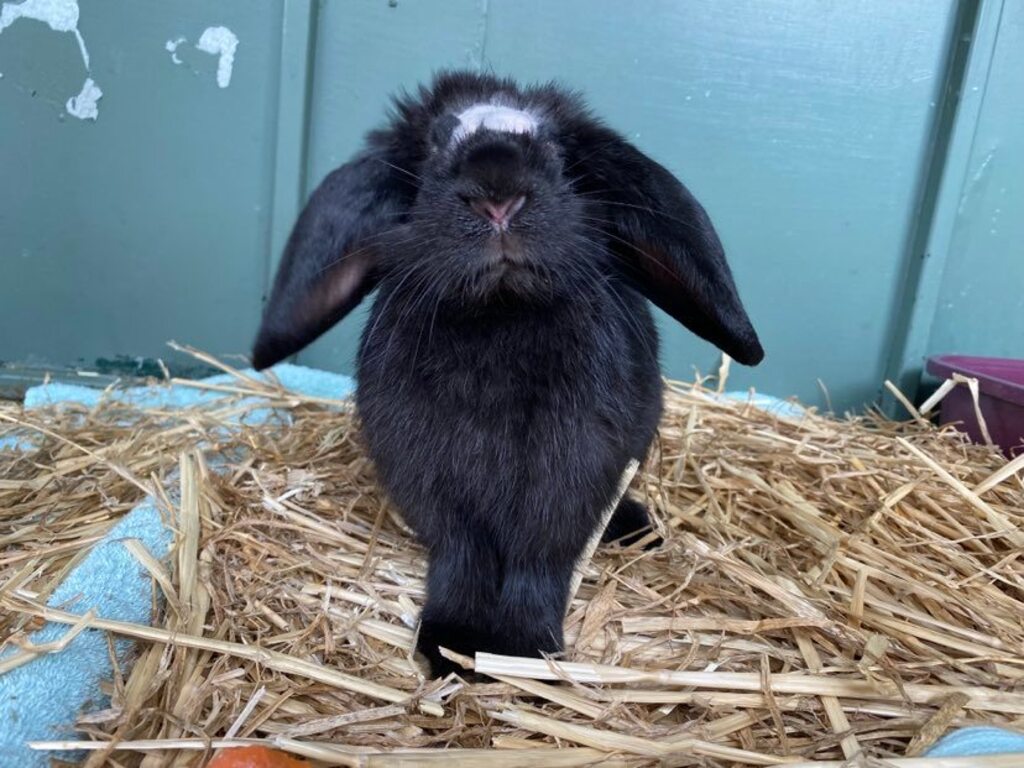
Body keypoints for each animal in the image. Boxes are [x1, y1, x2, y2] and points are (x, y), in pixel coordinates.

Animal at [251, 70, 763, 677]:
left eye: (558, 152)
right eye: (434, 146)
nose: (497, 196)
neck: (500, 313)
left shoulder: (570, 473)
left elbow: (537, 560)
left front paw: (522, 649)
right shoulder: (433, 484)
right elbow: (463, 557)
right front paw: (451, 647)